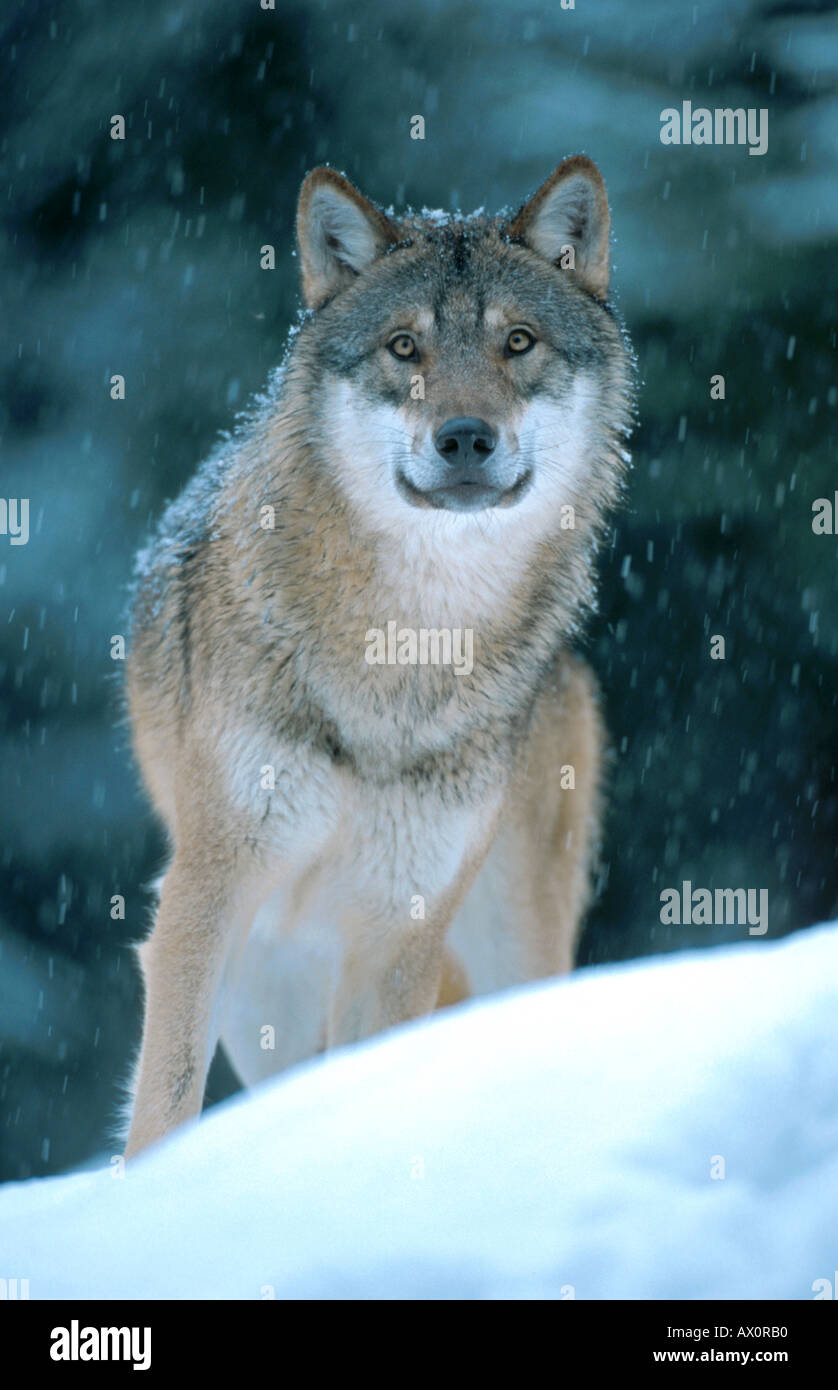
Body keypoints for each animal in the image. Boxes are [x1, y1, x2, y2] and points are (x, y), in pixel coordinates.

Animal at [123, 155, 634, 1155]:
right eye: (404, 349)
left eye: (518, 343)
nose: (465, 436)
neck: (403, 652)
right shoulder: (204, 908)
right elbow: (163, 1107)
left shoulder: (400, 938)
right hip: (263, 994)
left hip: (508, 945)